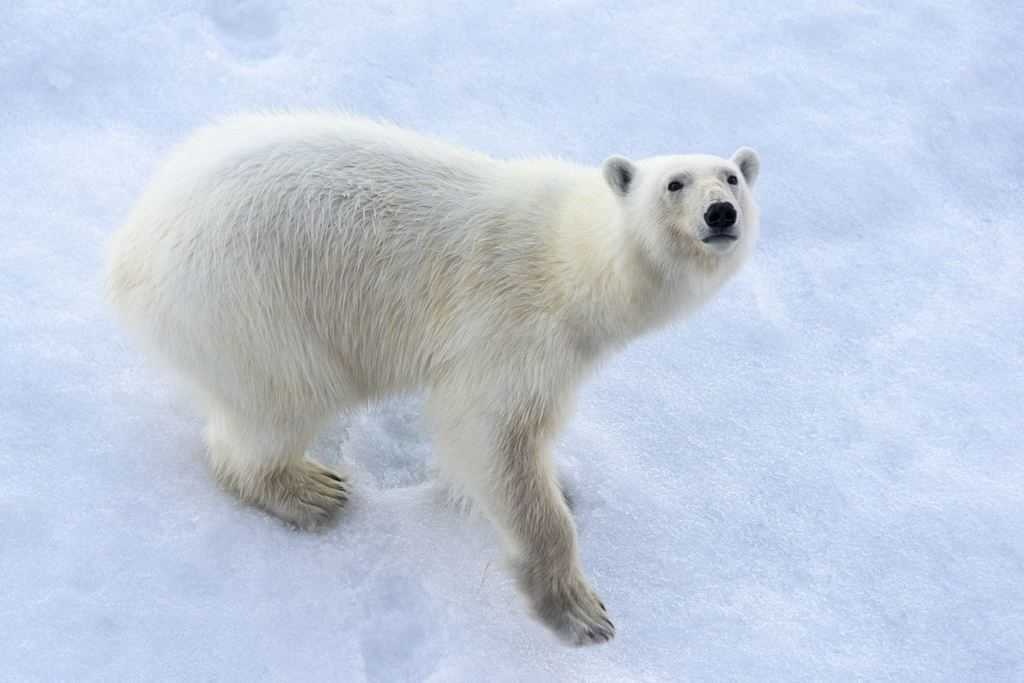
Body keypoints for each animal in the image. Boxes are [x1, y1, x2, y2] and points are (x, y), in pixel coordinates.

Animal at [106, 112, 760, 646]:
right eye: (674, 183)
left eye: (732, 178)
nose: (720, 213)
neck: (576, 261)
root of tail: (130, 251)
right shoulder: (514, 327)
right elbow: (487, 431)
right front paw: (579, 610)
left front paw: (561, 485)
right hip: (251, 303)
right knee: (284, 400)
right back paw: (310, 491)